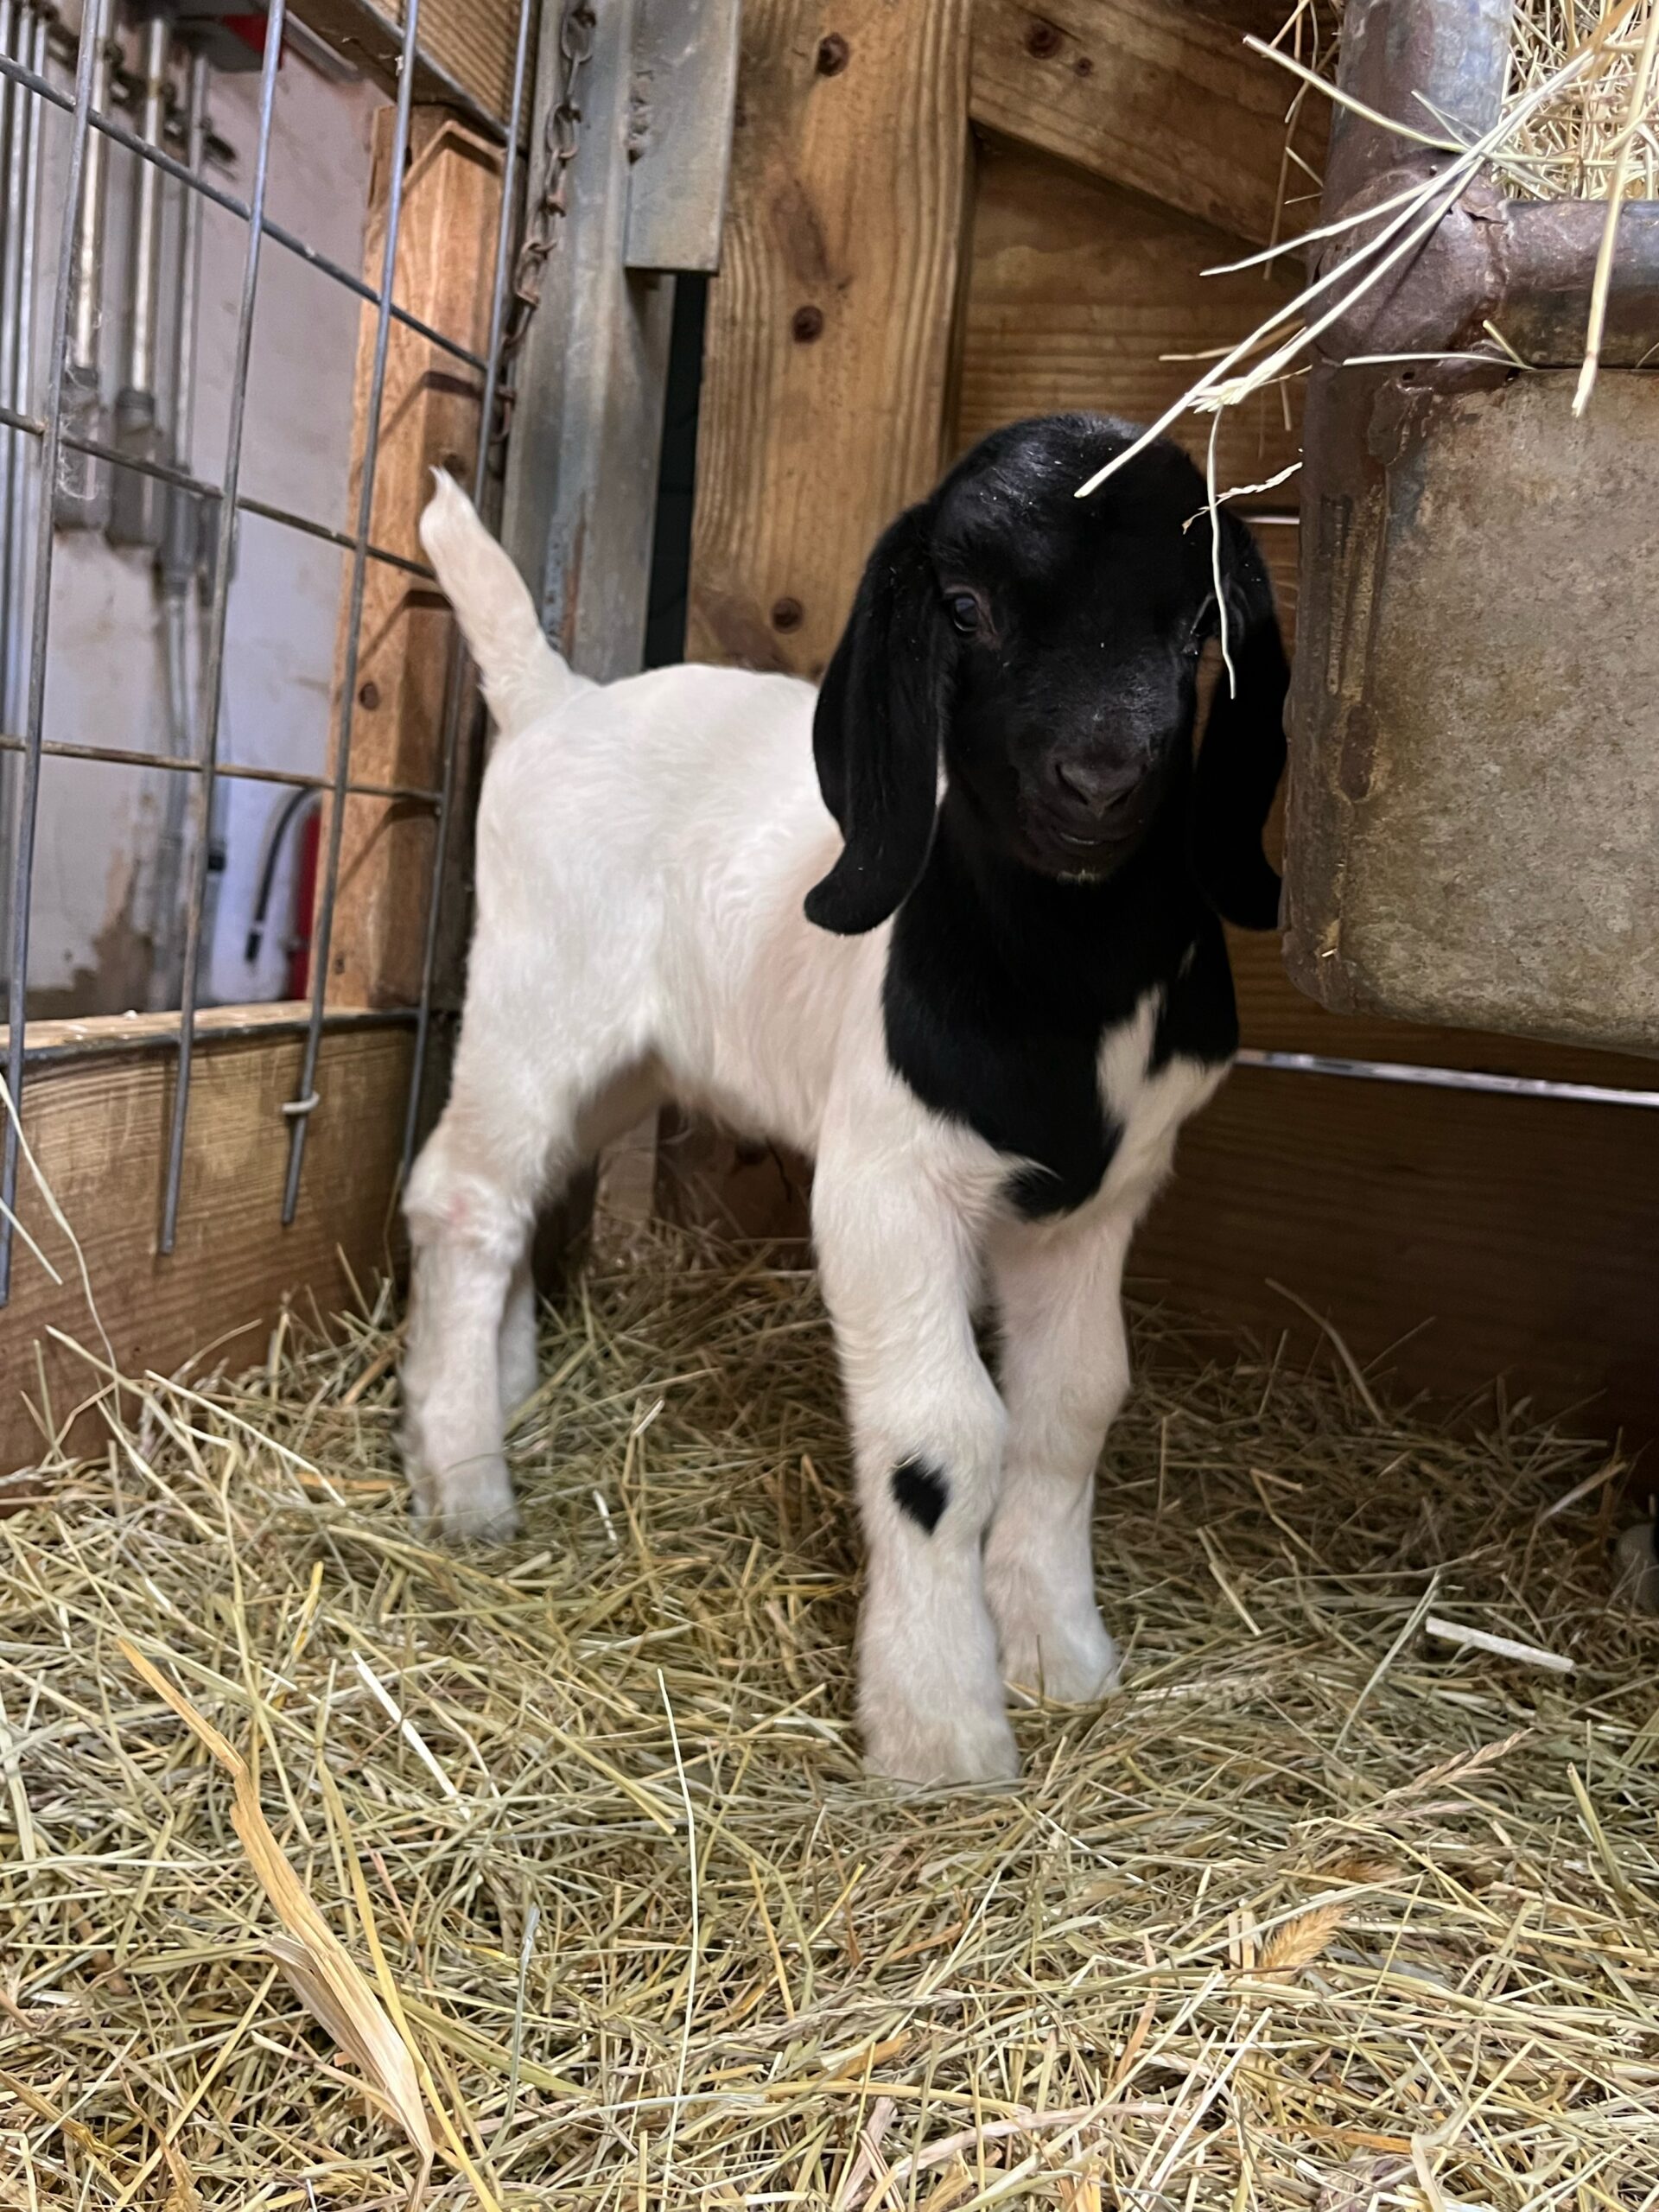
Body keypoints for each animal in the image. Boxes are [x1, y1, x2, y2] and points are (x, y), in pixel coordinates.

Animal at [401, 413, 1288, 1785]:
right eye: (966, 605)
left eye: (1198, 626)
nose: (1098, 780)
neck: (1065, 982)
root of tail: (558, 700)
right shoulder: (886, 1186)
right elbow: (945, 1437)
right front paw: (941, 1730)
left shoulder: (1099, 1203)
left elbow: (1070, 1408)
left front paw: (1060, 1654)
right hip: (537, 995)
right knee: (464, 1192)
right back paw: (465, 1483)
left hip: (634, 1060)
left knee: (525, 1192)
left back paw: (505, 1396)